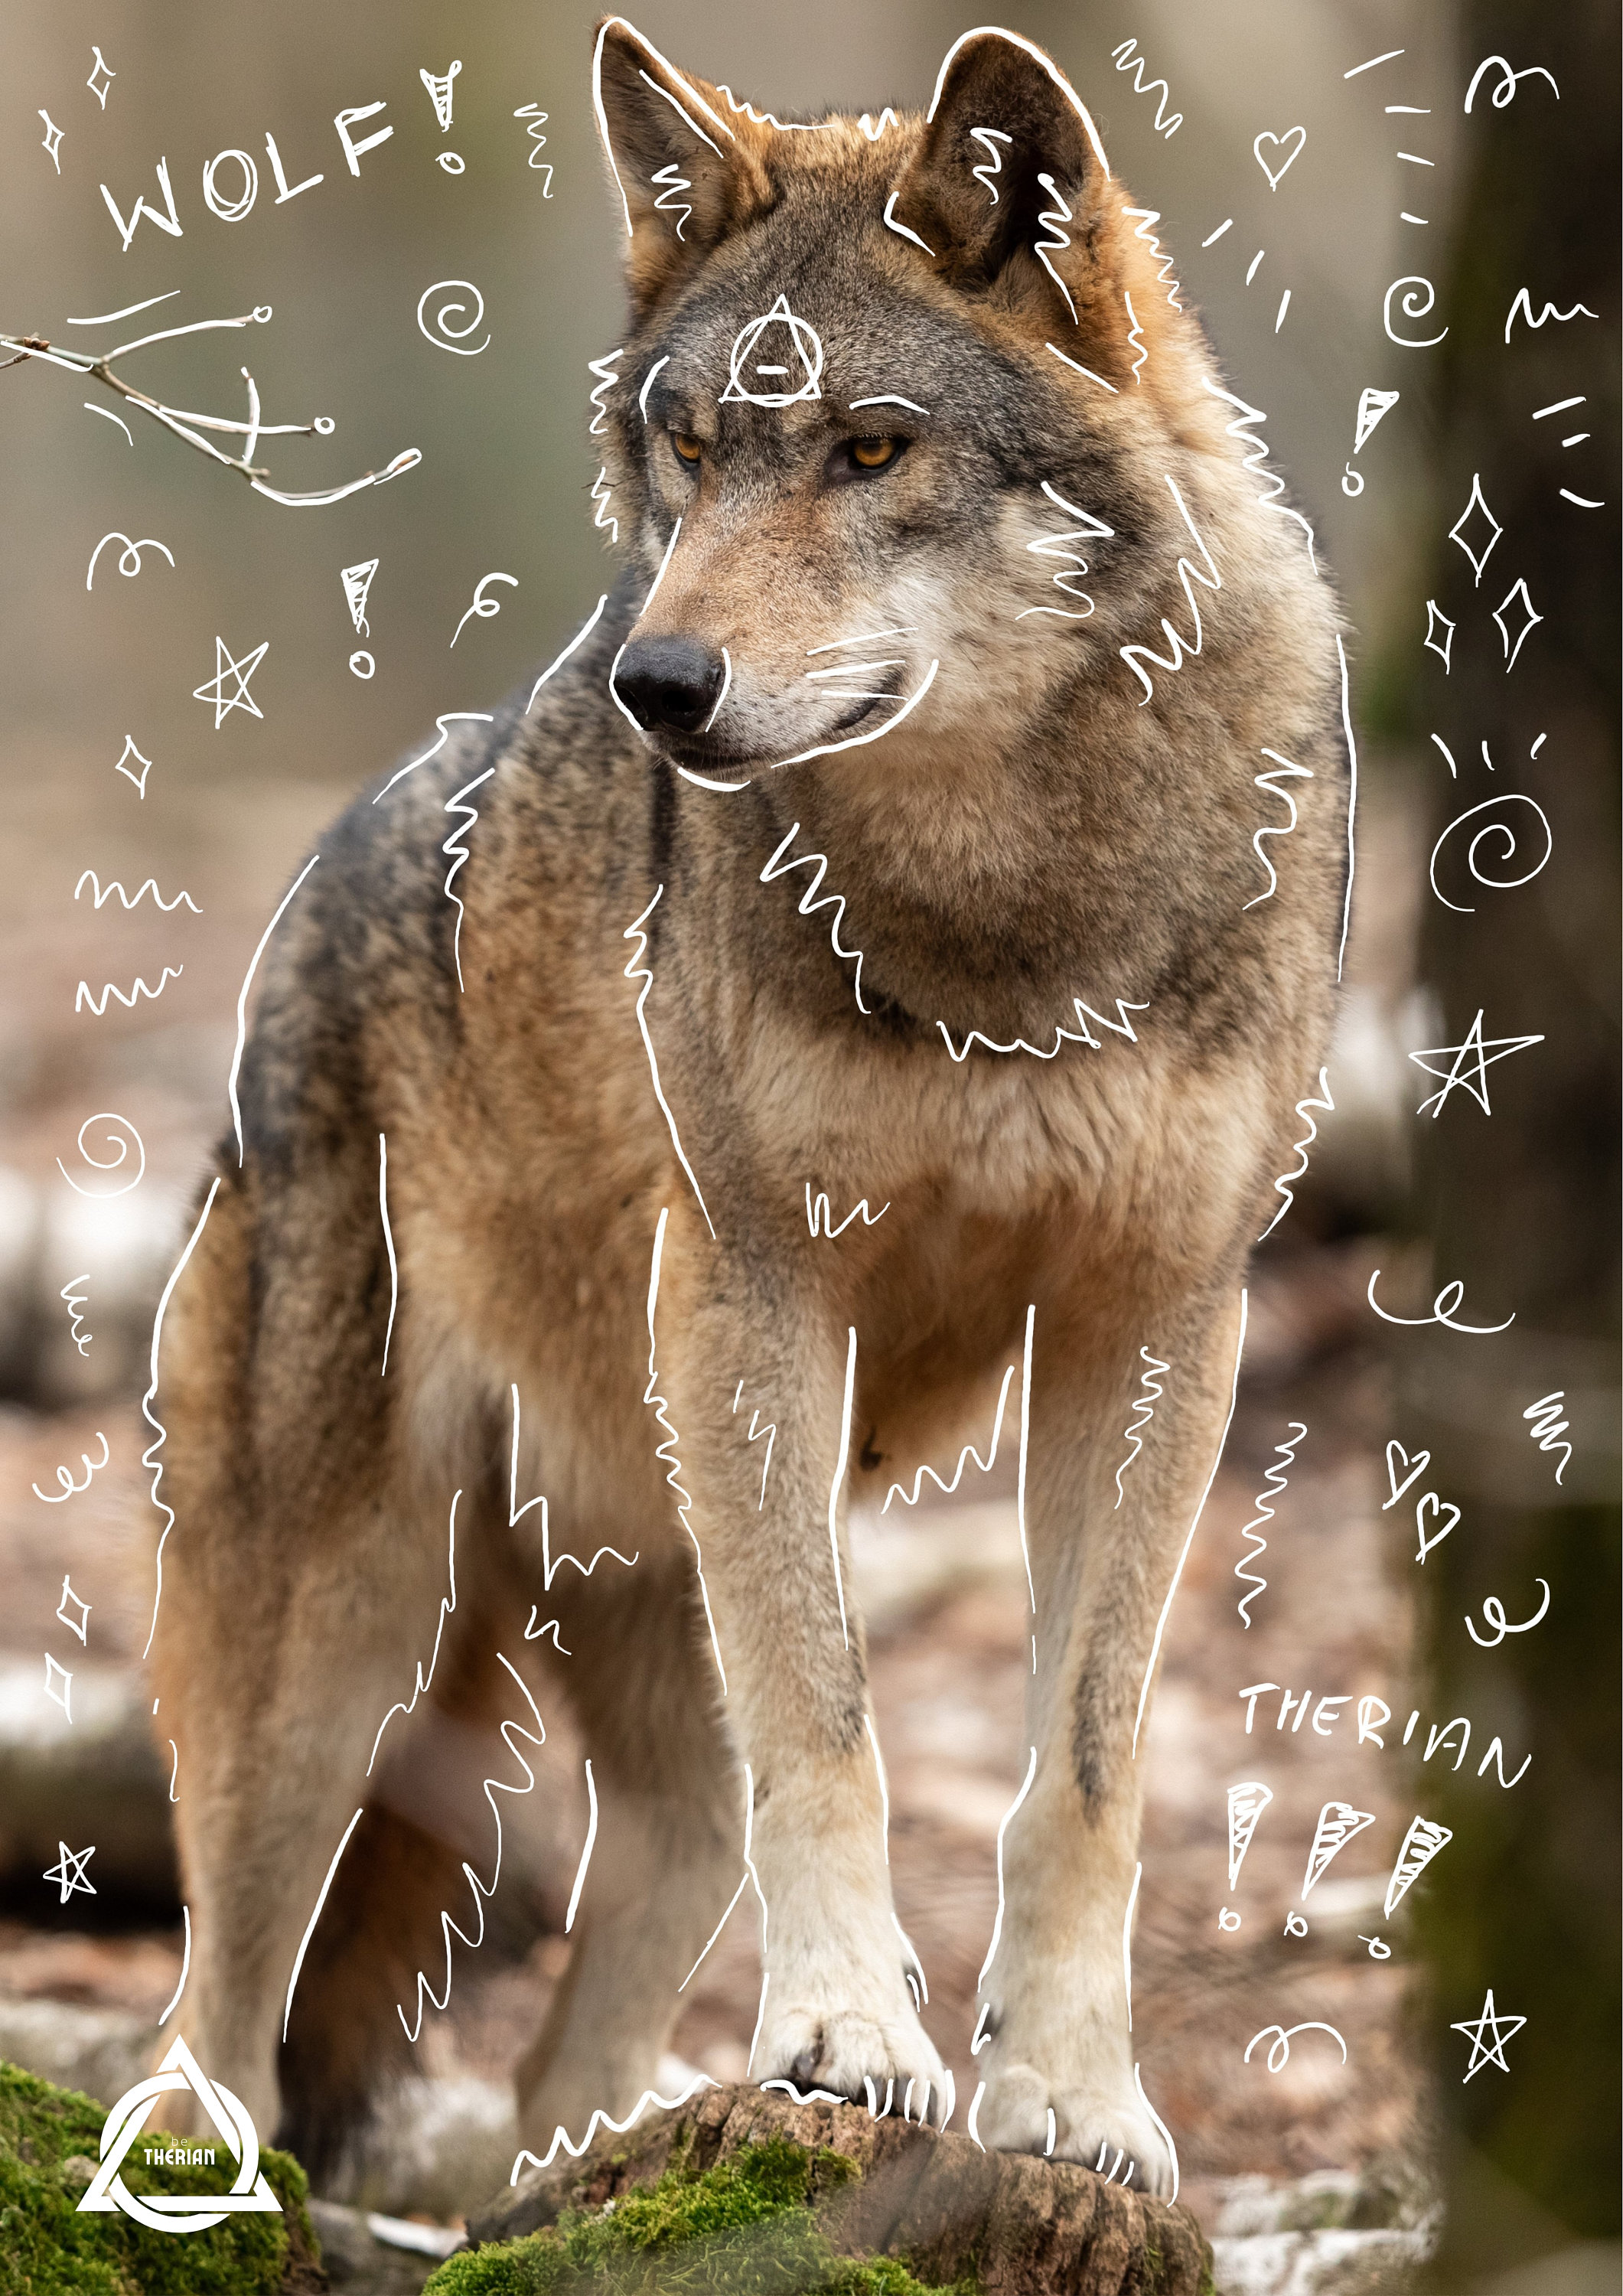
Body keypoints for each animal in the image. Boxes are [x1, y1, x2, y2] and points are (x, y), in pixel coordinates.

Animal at [148, 18, 1346, 2197]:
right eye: (693, 449)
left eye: (870, 449)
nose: (656, 685)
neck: (1006, 916)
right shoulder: (758, 1286)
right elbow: (841, 1732)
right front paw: (854, 2040)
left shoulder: (1155, 1323)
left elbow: (1085, 1769)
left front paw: (1070, 2099)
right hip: (332, 1649)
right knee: (223, 2013)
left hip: (635, 1678)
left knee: (563, 2064)